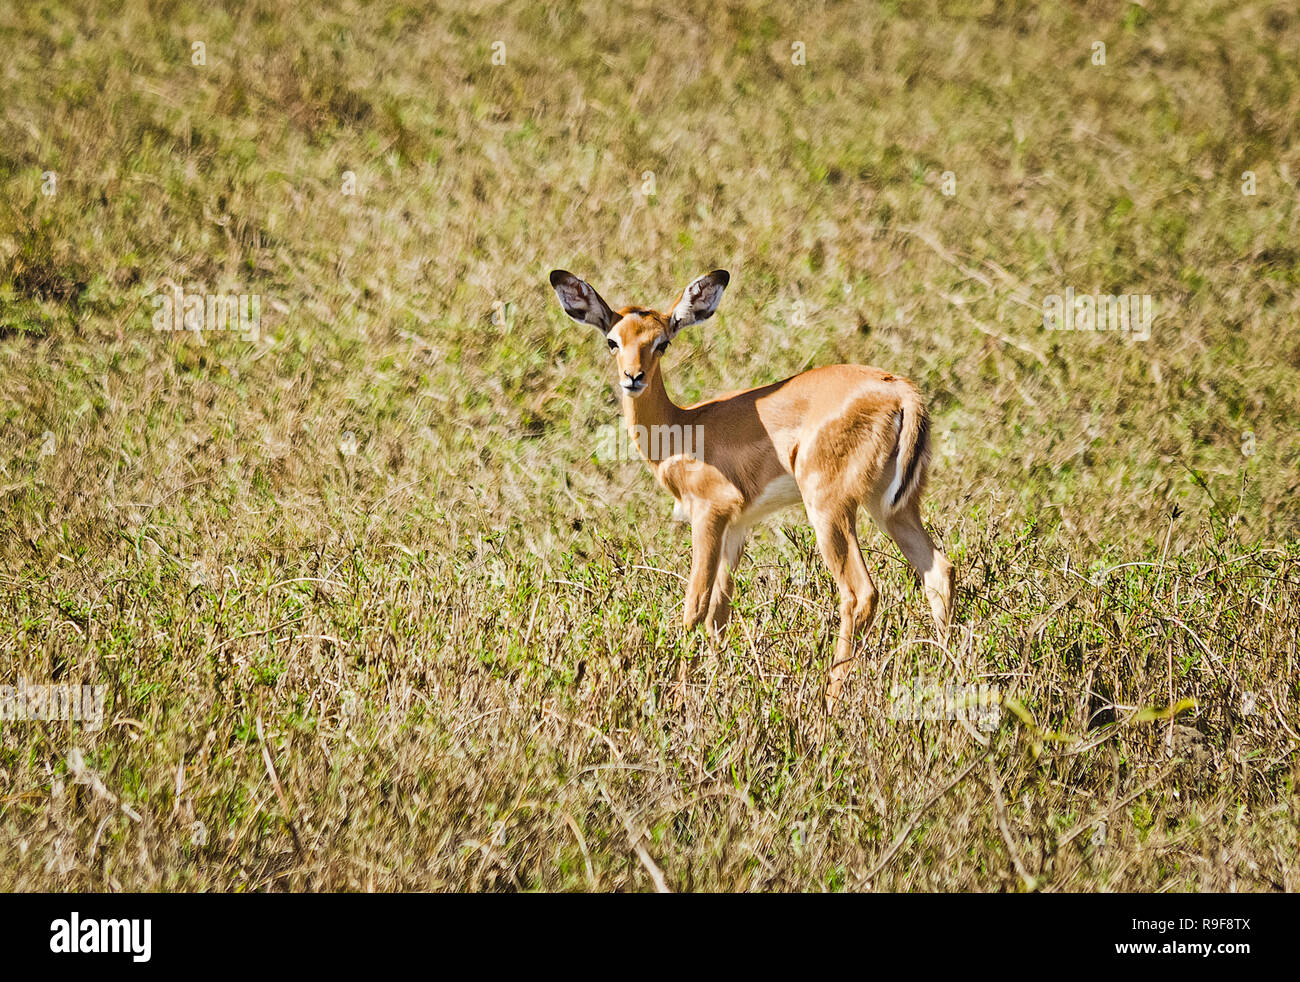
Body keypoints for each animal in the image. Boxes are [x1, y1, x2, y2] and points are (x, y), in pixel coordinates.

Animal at [549, 268, 955, 712]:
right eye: (613, 340)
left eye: (662, 342)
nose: (633, 378)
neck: (681, 432)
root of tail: (900, 390)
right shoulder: (737, 528)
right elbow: (718, 611)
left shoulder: (709, 515)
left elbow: (694, 607)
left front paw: (678, 700)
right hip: (892, 508)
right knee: (939, 571)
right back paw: (949, 674)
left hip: (829, 508)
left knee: (860, 593)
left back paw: (828, 702)